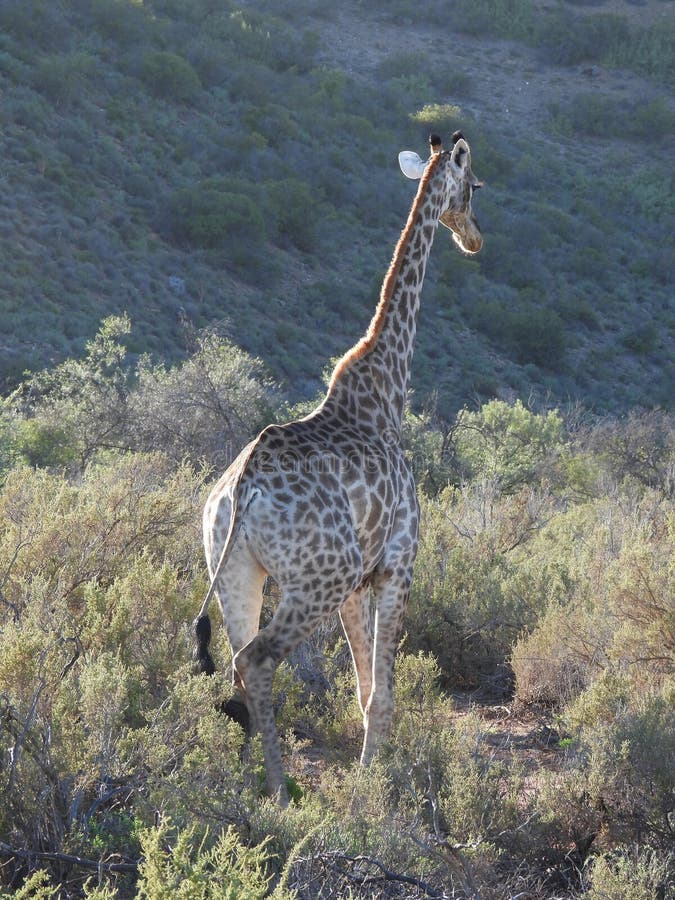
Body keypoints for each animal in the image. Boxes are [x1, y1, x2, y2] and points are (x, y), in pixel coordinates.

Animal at [194, 131, 483, 804]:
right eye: (475, 187)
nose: (475, 238)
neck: (387, 389)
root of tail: (241, 493)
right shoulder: (396, 562)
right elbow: (381, 694)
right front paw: (371, 785)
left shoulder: (359, 583)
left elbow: (362, 686)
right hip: (318, 577)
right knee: (256, 660)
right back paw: (279, 794)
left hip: (238, 571)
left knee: (239, 664)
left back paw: (250, 786)